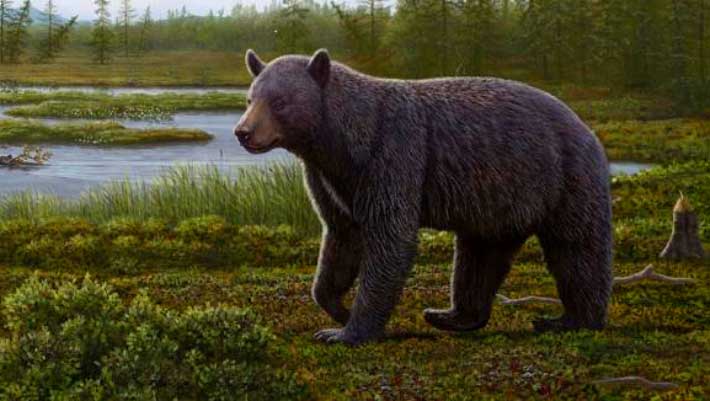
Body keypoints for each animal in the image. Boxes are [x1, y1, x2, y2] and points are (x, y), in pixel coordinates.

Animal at [233, 49, 613, 346]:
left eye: (279, 102)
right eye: (250, 99)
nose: (242, 132)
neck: (343, 144)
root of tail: (585, 126)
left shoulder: (393, 156)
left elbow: (390, 238)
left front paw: (348, 331)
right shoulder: (331, 181)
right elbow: (341, 237)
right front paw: (338, 309)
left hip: (567, 180)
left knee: (577, 249)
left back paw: (571, 320)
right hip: (499, 198)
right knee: (480, 256)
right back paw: (450, 315)